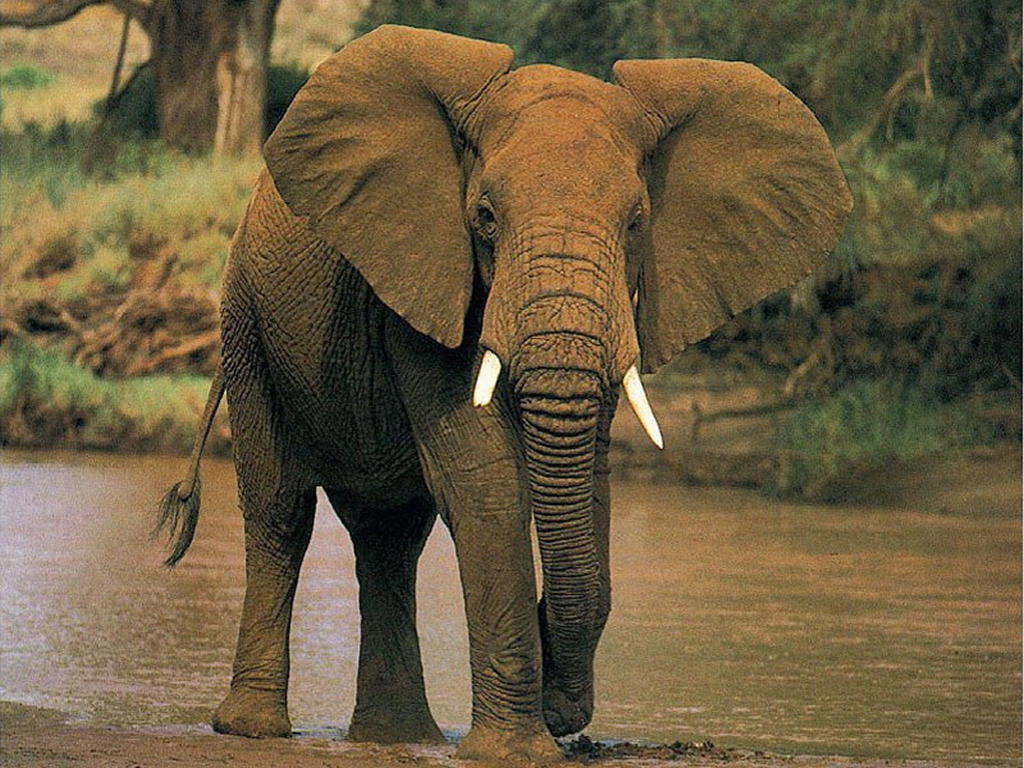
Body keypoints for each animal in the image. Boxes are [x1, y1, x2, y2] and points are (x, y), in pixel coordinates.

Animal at [158, 24, 851, 764]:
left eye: (637, 221)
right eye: (485, 218)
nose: (564, 707)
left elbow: (588, 479)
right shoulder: (429, 274)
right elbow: (486, 481)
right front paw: (519, 748)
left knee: (389, 538)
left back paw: (398, 736)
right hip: (246, 324)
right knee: (281, 509)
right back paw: (254, 728)